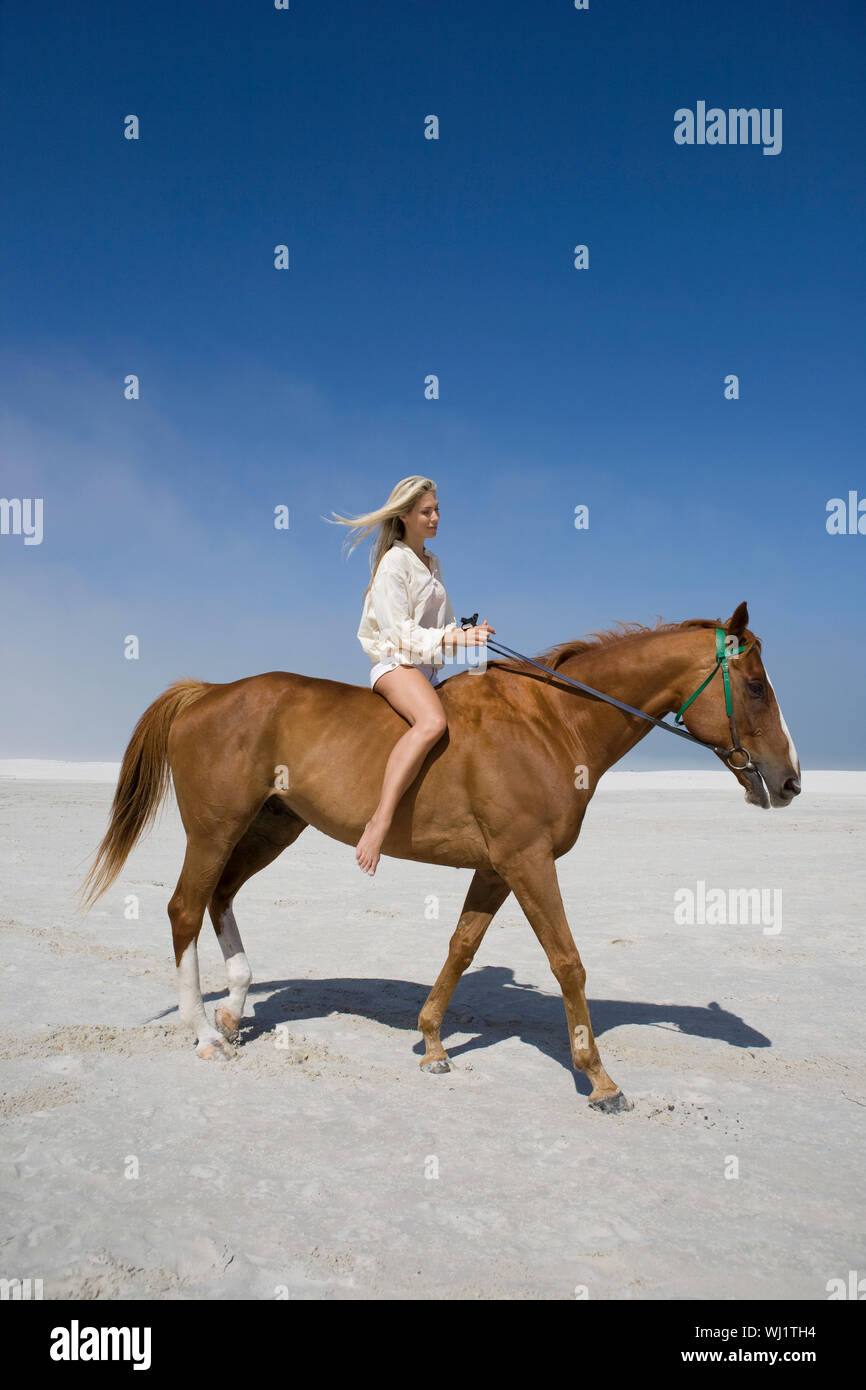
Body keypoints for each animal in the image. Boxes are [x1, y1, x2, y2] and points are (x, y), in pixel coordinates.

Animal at [80, 601, 801, 1112]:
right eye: (755, 686)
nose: (790, 780)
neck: (554, 722)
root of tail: (206, 692)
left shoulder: (497, 868)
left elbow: (461, 947)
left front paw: (430, 1043)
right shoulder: (529, 861)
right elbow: (568, 963)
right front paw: (599, 1080)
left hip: (271, 829)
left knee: (220, 897)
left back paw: (232, 1012)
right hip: (215, 828)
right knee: (185, 907)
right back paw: (204, 1034)